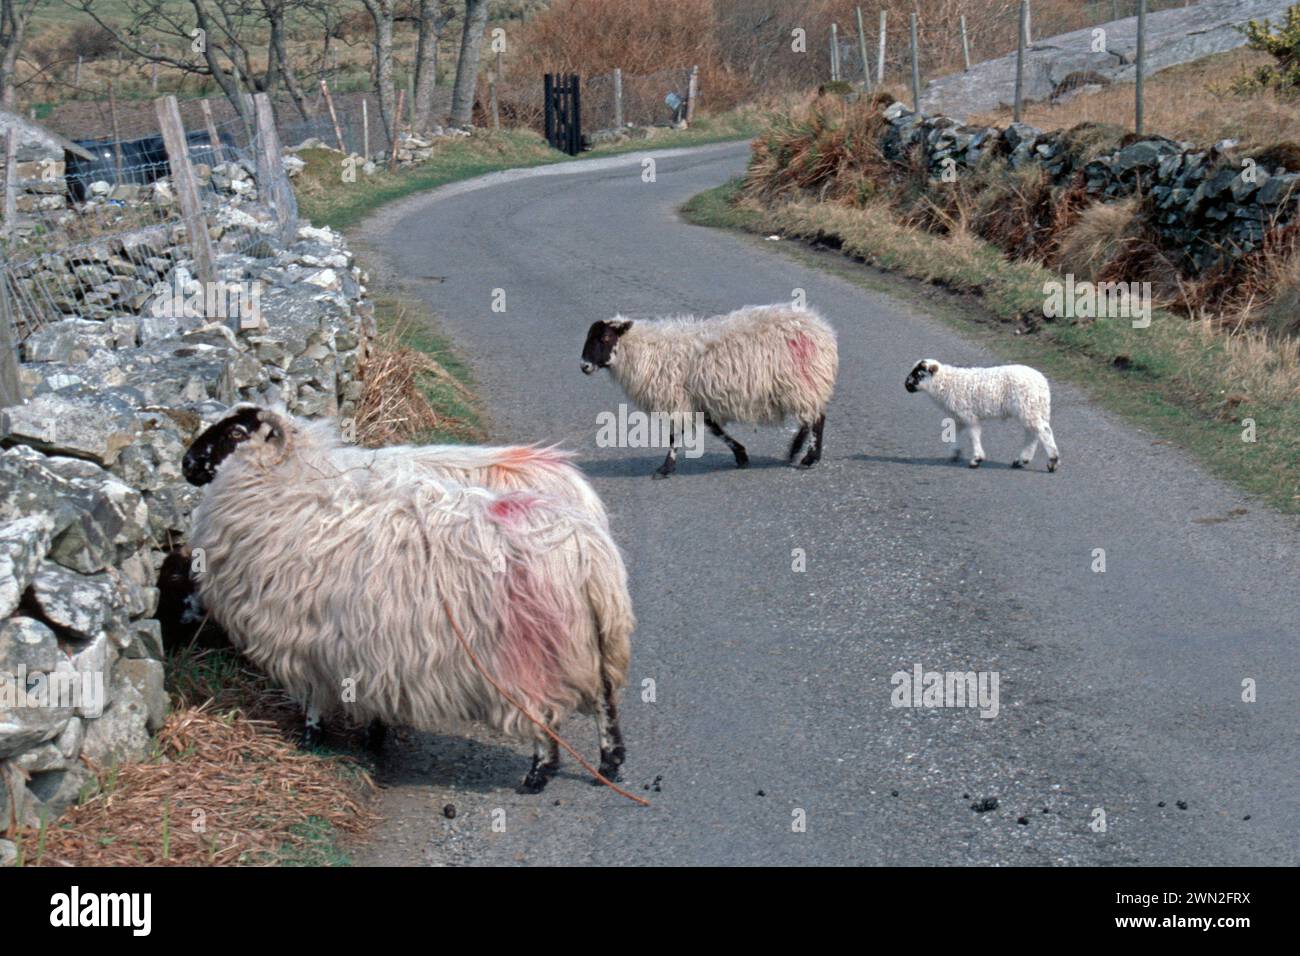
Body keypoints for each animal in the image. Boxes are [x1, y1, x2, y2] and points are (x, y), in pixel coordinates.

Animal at [181, 405, 635, 794]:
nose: (187, 464)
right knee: (603, 698)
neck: (286, 492)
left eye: (236, 433)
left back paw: (539, 773)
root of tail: (586, 548)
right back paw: (610, 761)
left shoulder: (308, 634)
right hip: (589, 637)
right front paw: (372, 734)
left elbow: (313, 694)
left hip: (528, 648)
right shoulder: (362, 641)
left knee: (543, 711)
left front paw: (313, 738)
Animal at [580, 304, 839, 477]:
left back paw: (808, 457)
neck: (646, 353)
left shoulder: (677, 399)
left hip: (803, 384)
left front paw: (665, 468)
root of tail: (821, 328)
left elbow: (675, 435)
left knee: (816, 419)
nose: (584, 366)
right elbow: (715, 429)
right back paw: (796, 451)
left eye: (605, 337)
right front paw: (741, 455)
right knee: (811, 418)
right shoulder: (697, 400)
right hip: (804, 386)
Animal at [904, 359, 1059, 471]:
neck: (945, 382)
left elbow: (973, 435)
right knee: (1034, 433)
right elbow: (955, 432)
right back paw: (1022, 460)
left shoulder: (968, 414)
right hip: (1035, 409)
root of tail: (1042, 383)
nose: (906, 385)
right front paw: (955, 453)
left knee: (1043, 432)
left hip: (1027, 407)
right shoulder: (959, 416)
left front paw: (976, 460)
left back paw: (1052, 461)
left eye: (919, 374)